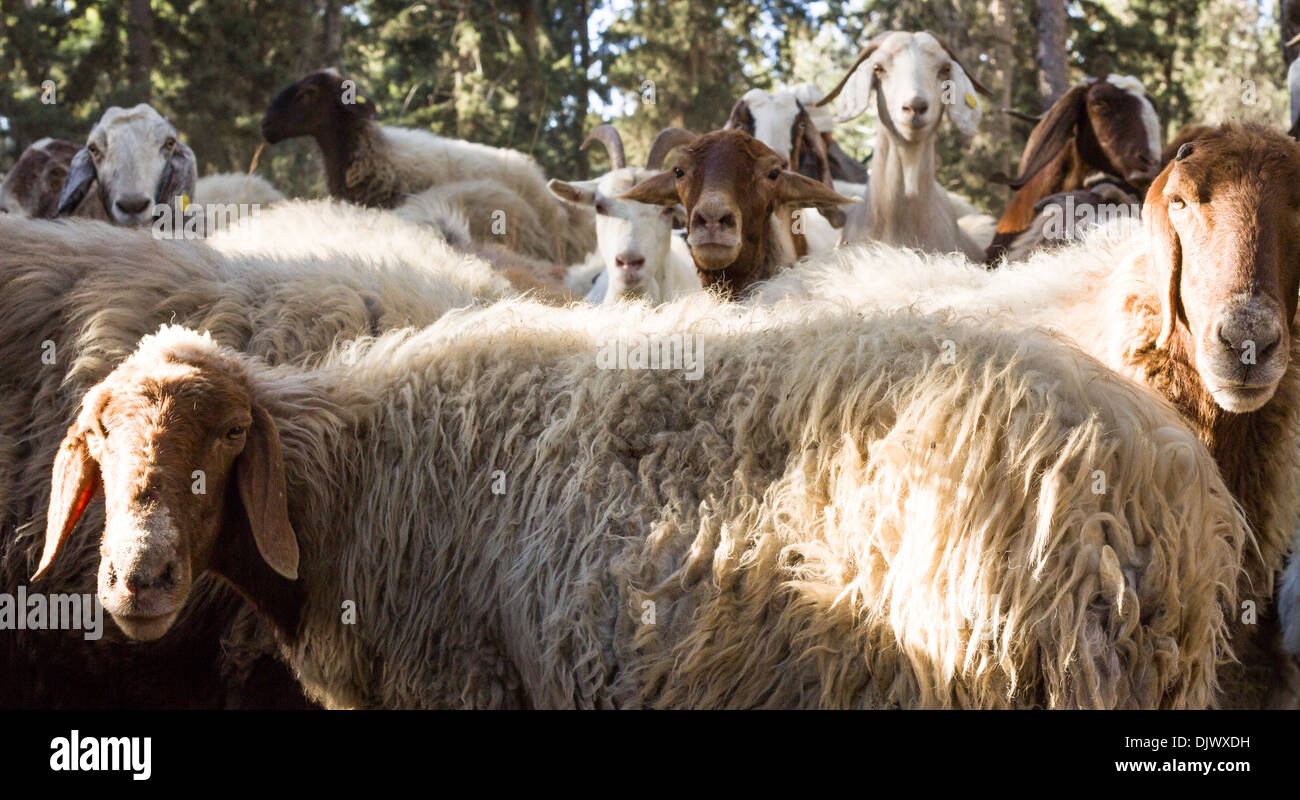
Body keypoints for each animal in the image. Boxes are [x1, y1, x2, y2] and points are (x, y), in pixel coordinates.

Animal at [40, 293, 1245, 709]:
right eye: (98, 441)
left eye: (226, 439)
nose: (138, 577)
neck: (354, 481)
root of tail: (1155, 477)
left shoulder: (465, 685)